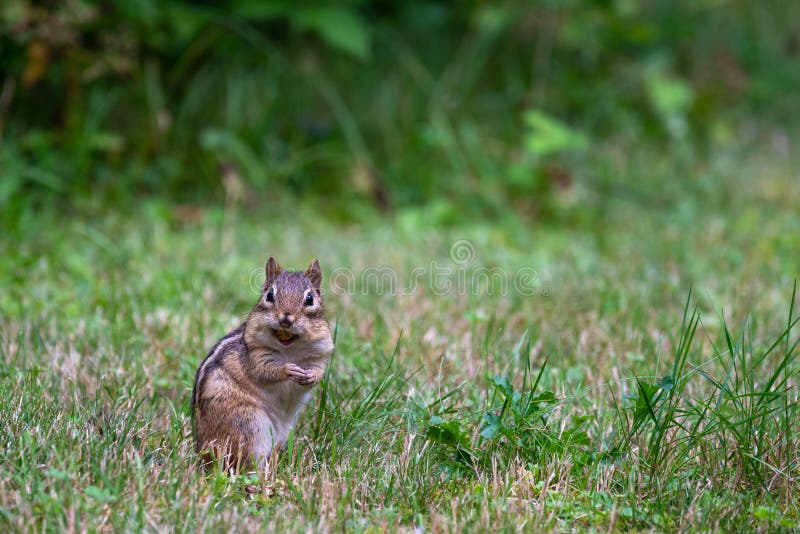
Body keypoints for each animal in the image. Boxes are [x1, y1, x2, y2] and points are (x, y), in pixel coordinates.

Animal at [191, 256, 334, 472]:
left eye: (310, 299)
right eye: (269, 295)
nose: (286, 317)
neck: (290, 349)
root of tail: (203, 452)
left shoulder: (319, 355)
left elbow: (318, 373)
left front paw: (309, 376)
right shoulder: (256, 355)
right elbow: (265, 371)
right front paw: (287, 369)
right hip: (248, 424)